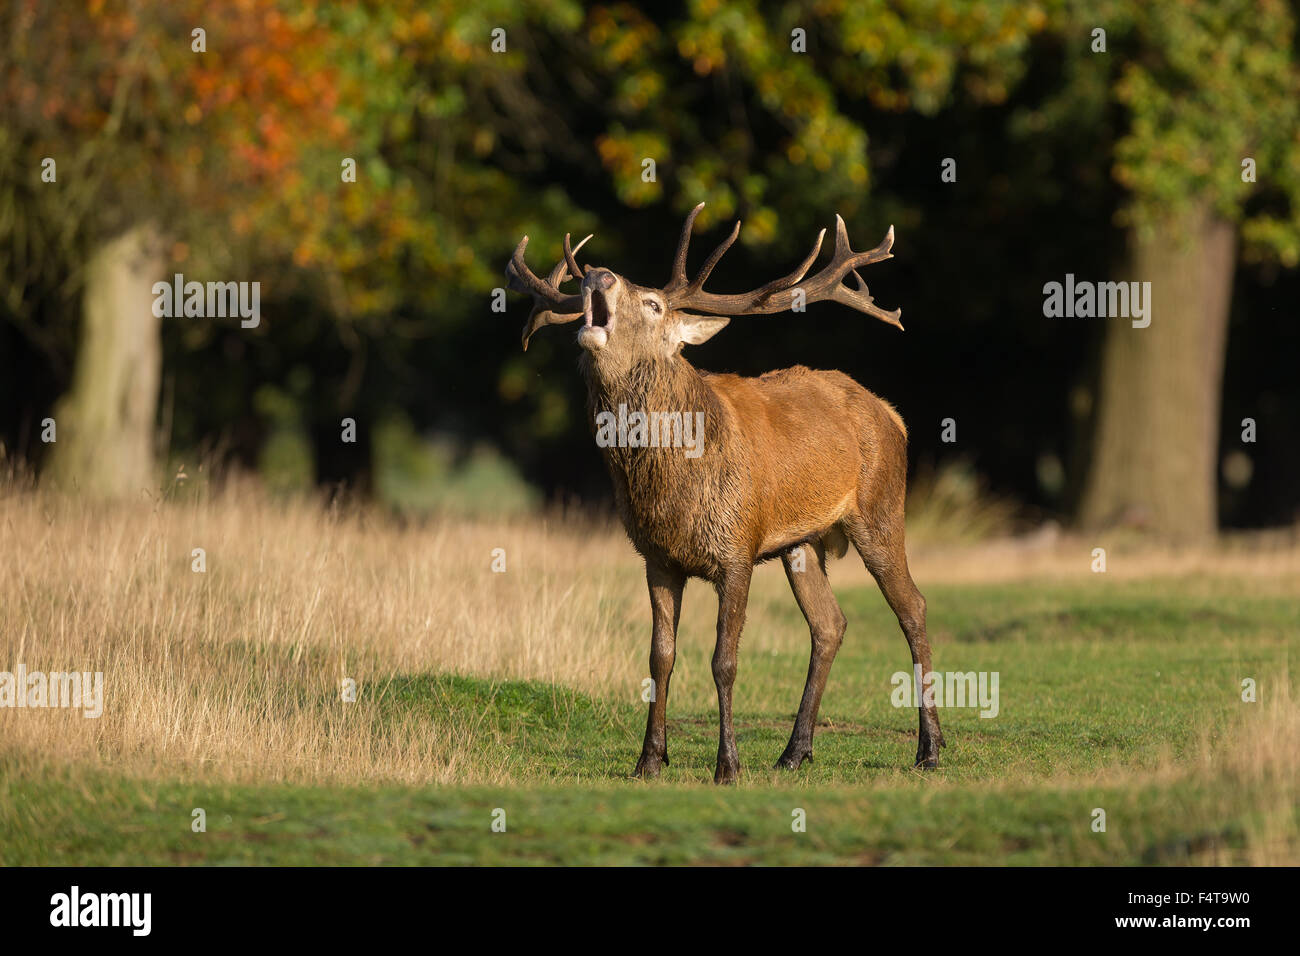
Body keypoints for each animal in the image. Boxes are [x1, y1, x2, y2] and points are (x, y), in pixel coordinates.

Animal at [506, 204, 944, 784]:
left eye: (653, 303)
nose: (598, 274)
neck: (673, 491)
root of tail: (892, 414)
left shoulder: (736, 548)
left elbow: (724, 660)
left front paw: (728, 766)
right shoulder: (657, 558)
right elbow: (660, 656)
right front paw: (649, 760)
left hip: (880, 508)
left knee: (912, 607)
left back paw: (930, 748)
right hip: (801, 543)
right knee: (830, 624)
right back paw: (794, 751)